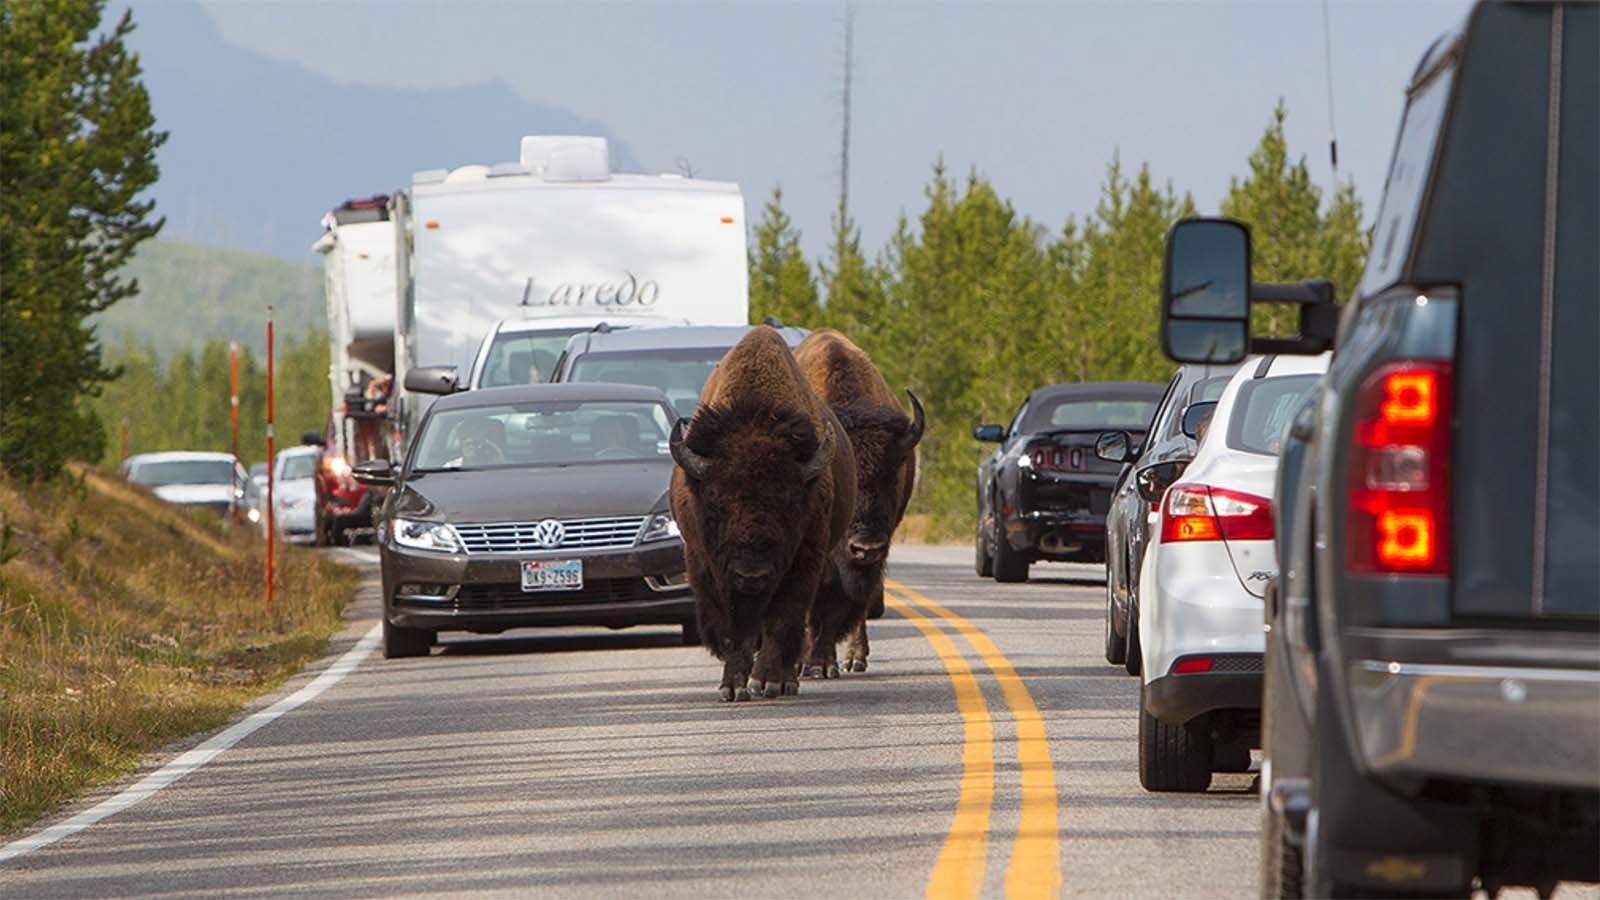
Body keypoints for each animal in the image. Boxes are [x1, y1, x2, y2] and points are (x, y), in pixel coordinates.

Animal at [670, 326, 858, 701]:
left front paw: (768, 681)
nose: (751, 574)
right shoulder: (706, 566)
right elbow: (733, 630)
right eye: (715, 496)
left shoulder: (804, 560)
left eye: (789, 499)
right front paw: (732, 686)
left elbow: (782, 620)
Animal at [793, 329, 924, 678]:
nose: (867, 546)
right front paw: (807, 663)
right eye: (840, 480)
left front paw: (824, 663)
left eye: (893, 474)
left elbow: (846, 605)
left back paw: (854, 658)